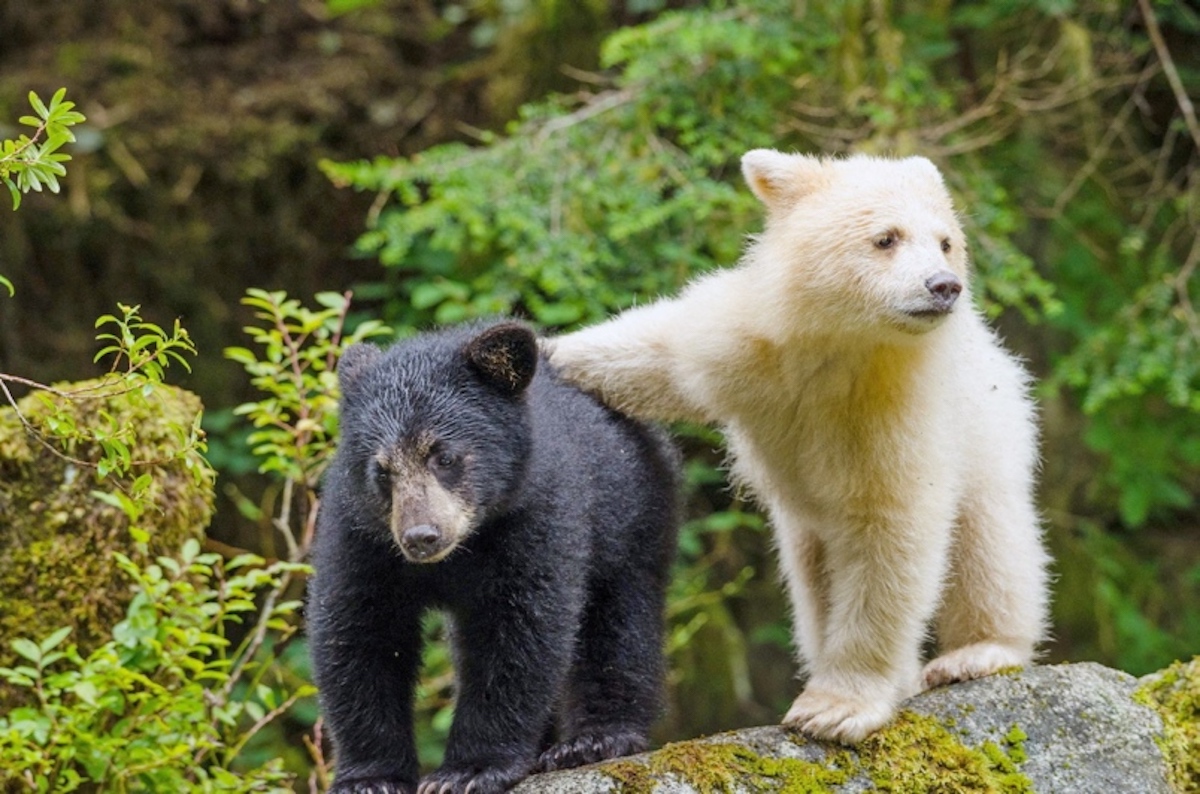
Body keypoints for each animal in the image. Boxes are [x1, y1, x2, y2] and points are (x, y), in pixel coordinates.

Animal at [306, 321, 680, 794]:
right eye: (382, 470)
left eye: (444, 456)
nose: (420, 537)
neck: (464, 547)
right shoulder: (361, 534)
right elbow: (360, 632)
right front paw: (370, 777)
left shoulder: (535, 514)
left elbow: (518, 630)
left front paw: (469, 770)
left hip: (633, 514)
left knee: (619, 622)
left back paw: (594, 739)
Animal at [546, 149, 1051, 744]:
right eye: (887, 238)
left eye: (946, 241)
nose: (944, 285)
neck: (839, 348)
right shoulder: (751, 342)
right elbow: (655, 351)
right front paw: (543, 351)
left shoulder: (897, 409)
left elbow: (891, 529)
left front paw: (834, 708)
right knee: (812, 579)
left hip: (990, 427)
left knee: (988, 537)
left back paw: (977, 652)